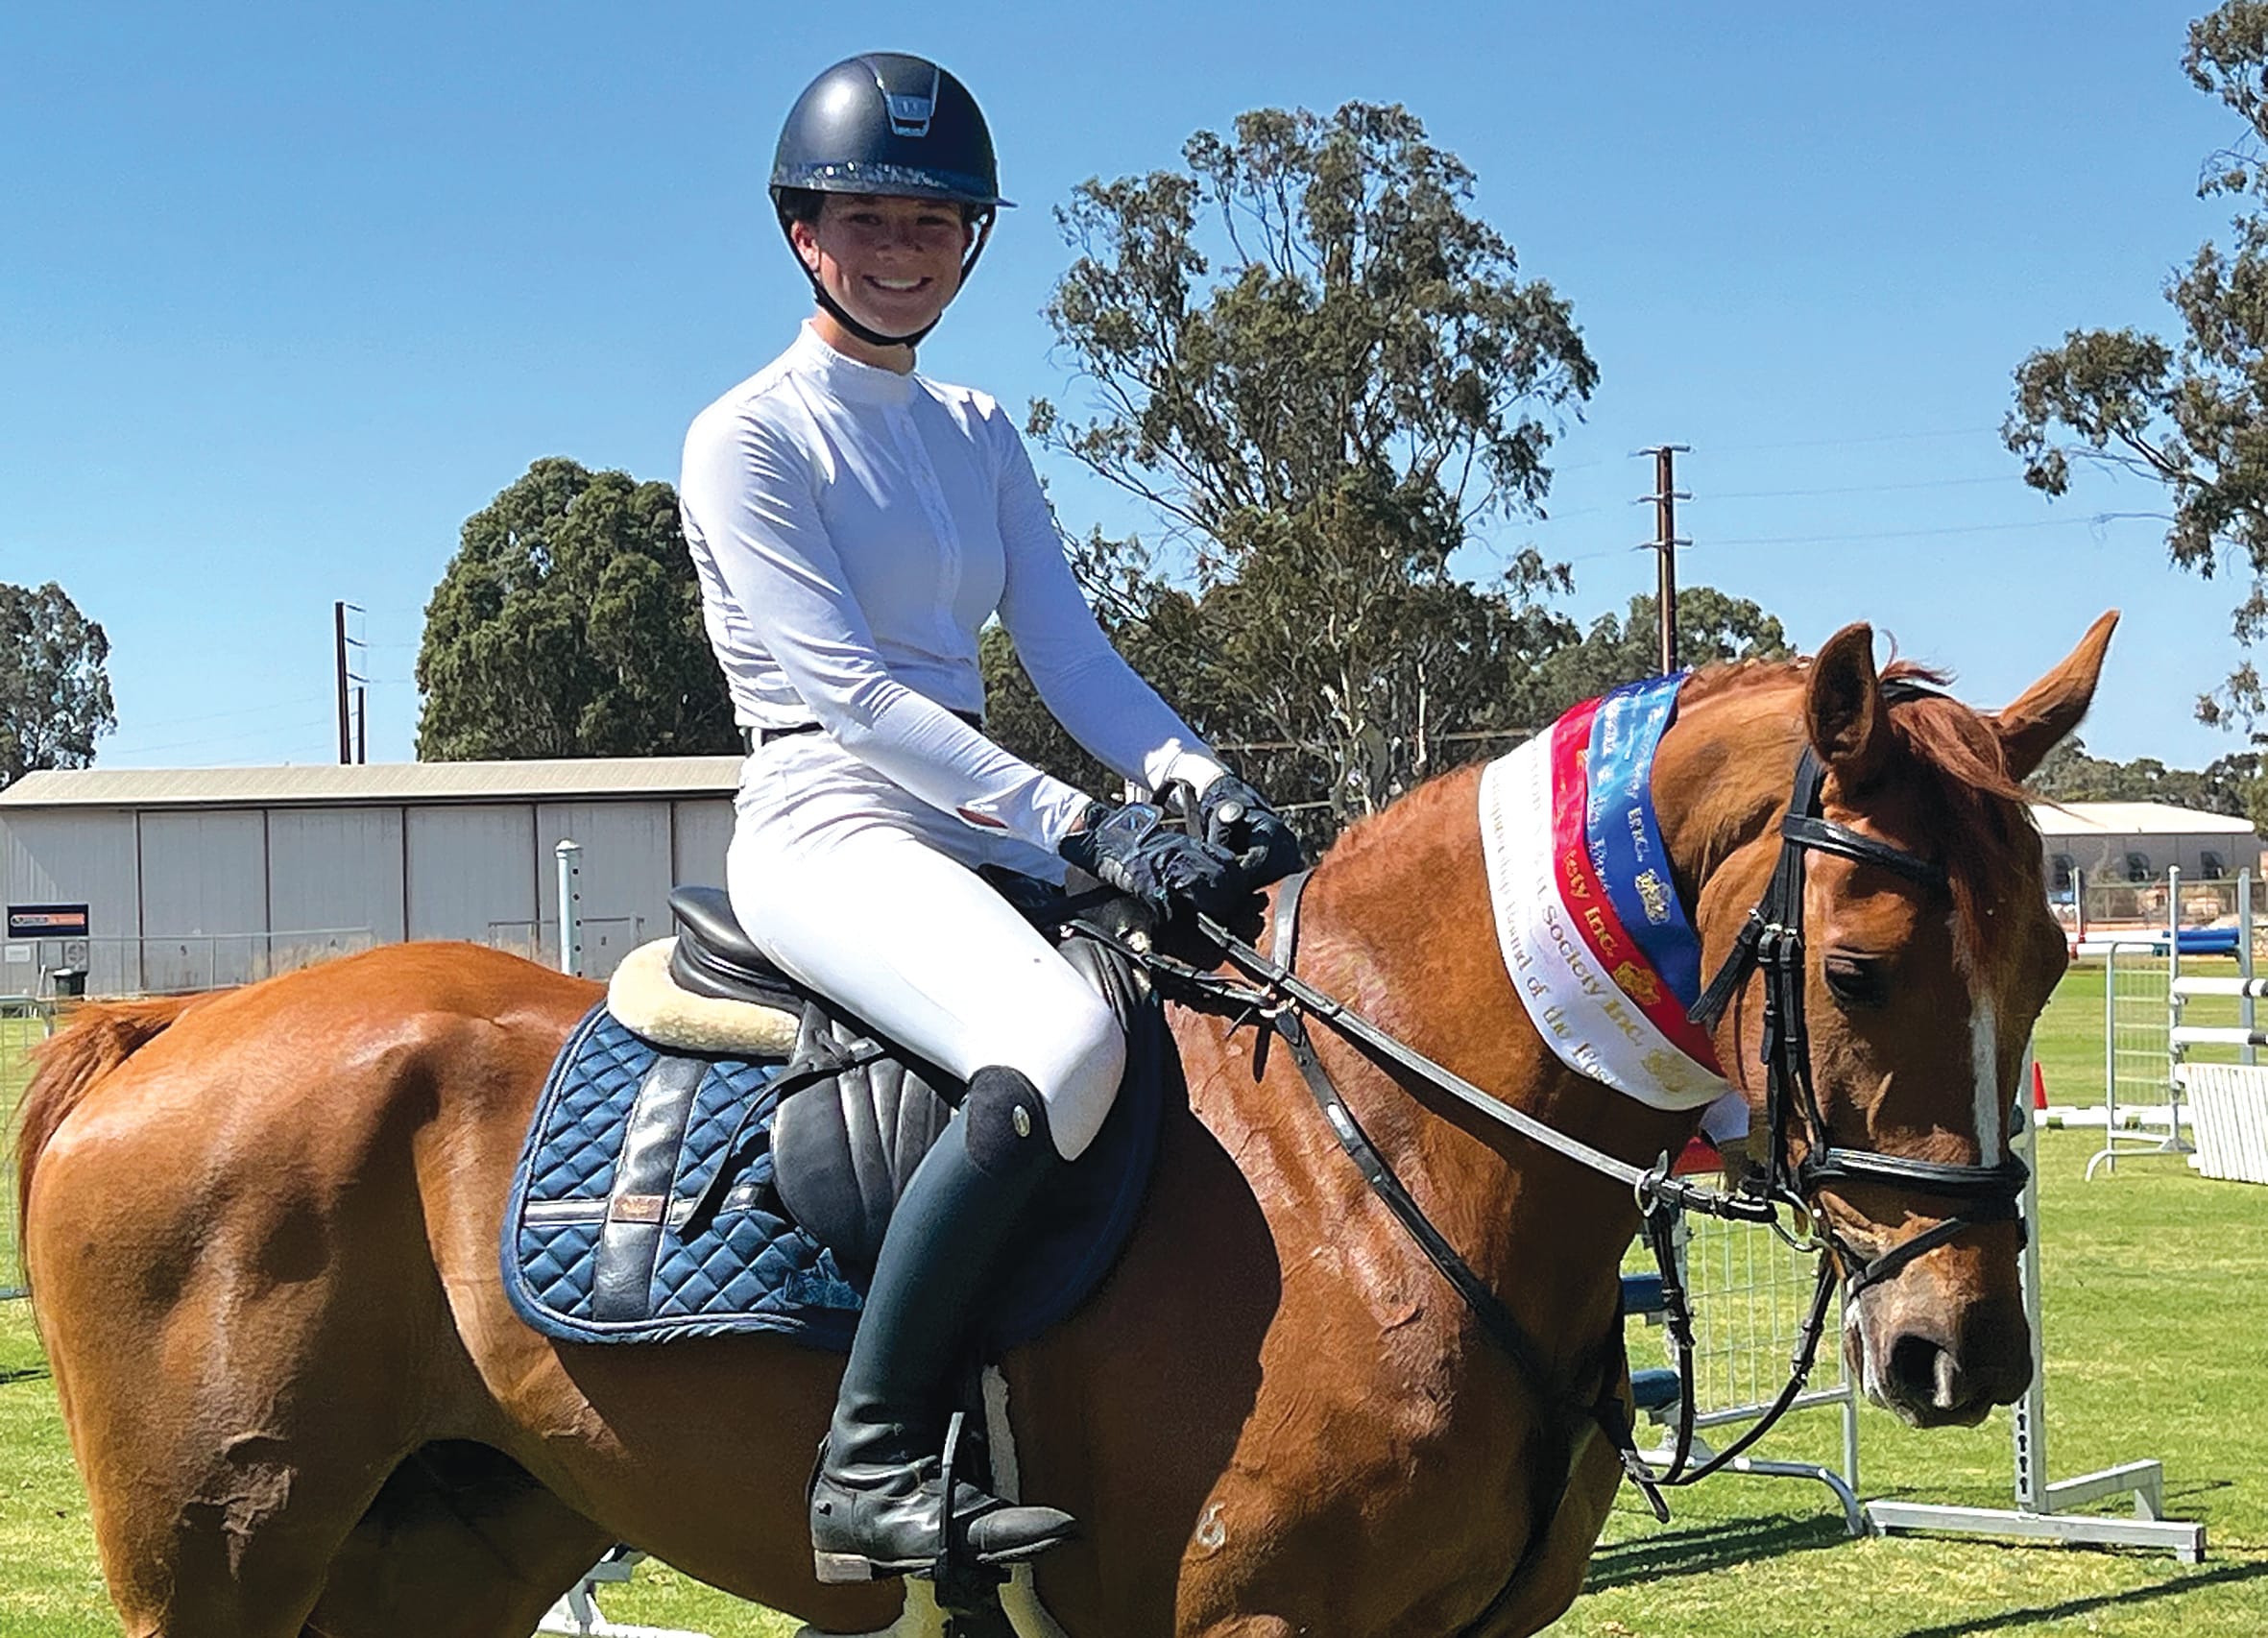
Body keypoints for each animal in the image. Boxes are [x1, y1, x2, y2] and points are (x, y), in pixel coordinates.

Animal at [15, 615, 2113, 1638]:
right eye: (1858, 968)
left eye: (2045, 953)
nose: (1958, 1351)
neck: (1383, 1157)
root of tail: (163, 1029)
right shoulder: (1251, 1619)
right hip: (220, 1556)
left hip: (448, 1537)